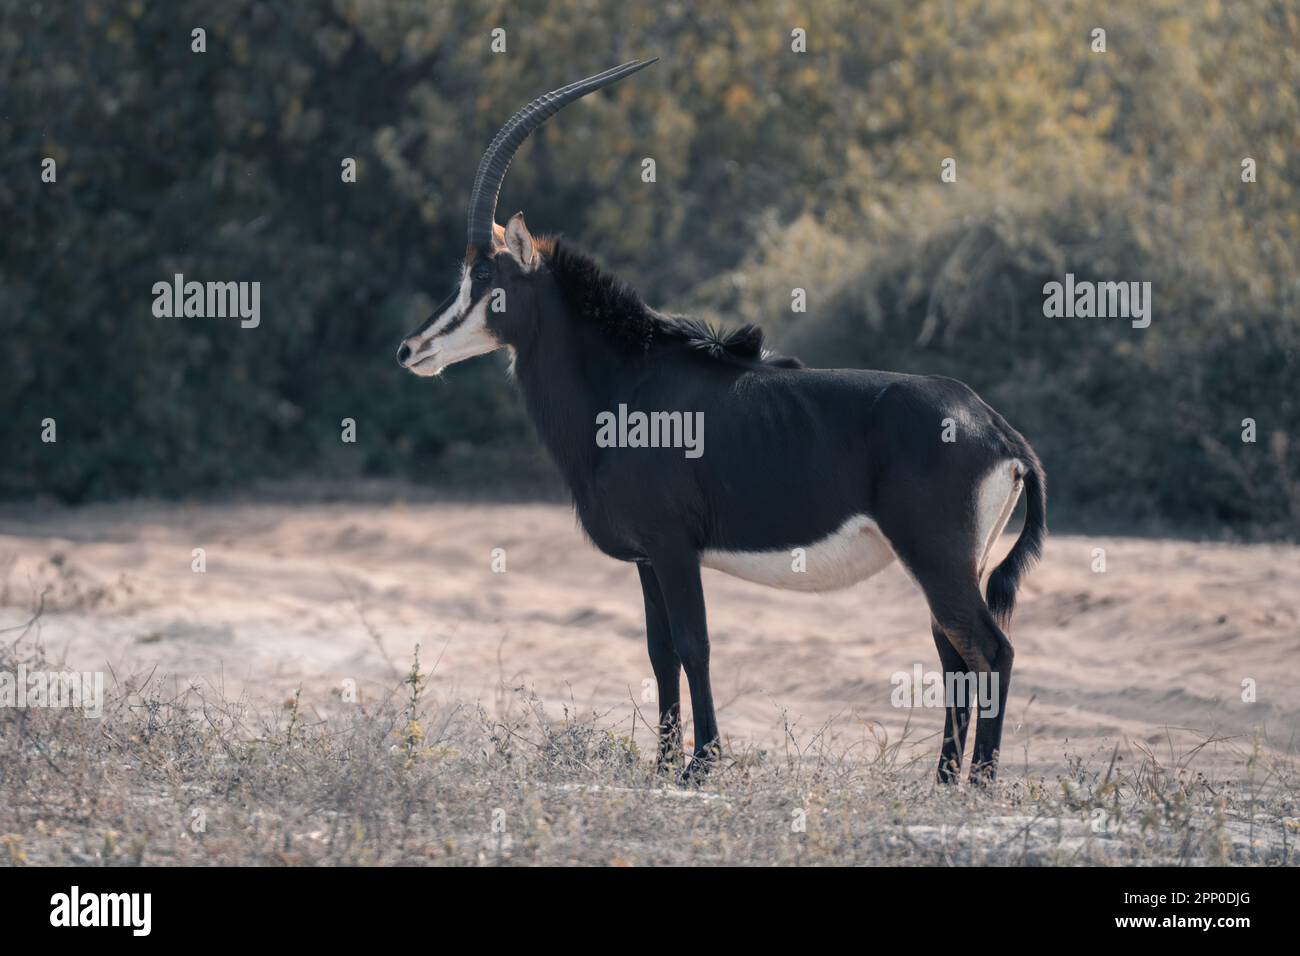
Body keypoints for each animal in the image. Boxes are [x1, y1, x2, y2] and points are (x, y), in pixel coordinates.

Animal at [397, 60, 1047, 784]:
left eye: (489, 279)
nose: (411, 350)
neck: (626, 380)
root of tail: (1000, 432)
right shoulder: (648, 559)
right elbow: (659, 652)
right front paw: (661, 765)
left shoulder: (675, 548)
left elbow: (695, 644)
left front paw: (700, 765)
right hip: (951, 565)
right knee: (955, 651)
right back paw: (941, 781)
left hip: (937, 559)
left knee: (991, 649)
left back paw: (978, 785)